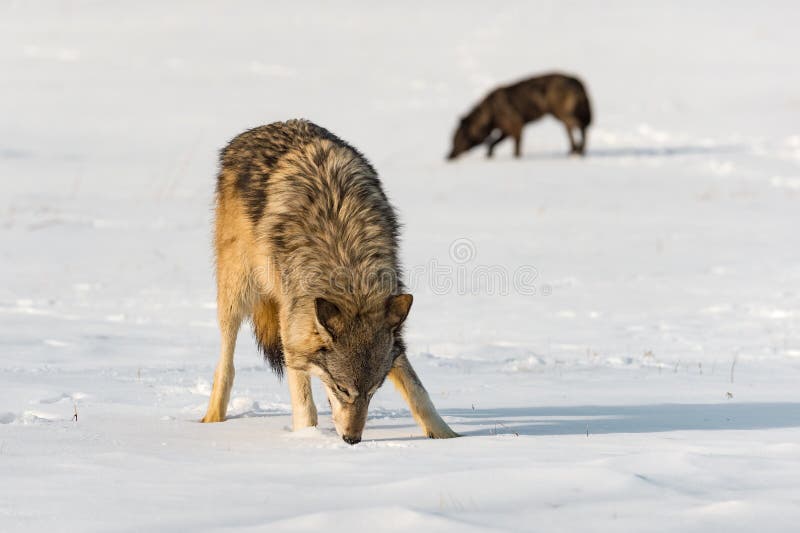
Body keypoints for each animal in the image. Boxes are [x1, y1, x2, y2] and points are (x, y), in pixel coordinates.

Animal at [202, 119, 458, 444]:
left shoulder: (390, 333)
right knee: (226, 362)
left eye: (373, 392)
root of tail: (263, 127)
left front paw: (448, 437)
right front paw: (308, 438)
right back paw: (212, 420)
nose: (352, 440)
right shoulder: (293, 328)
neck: (347, 266)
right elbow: (304, 403)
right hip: (237, 292)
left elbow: (418, 390)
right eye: (341, 388)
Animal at [447, 73, 592, 160]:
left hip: (561, 114)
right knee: (576, 128)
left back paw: (578, 150)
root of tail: (578, 82)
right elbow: (492, 144)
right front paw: (489, 156)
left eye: (456, 139)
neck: (490, 113)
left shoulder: (517, 127)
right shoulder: (505, 130)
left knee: (578, 126)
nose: (447, 156)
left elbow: (515, 149)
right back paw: (576, 150)